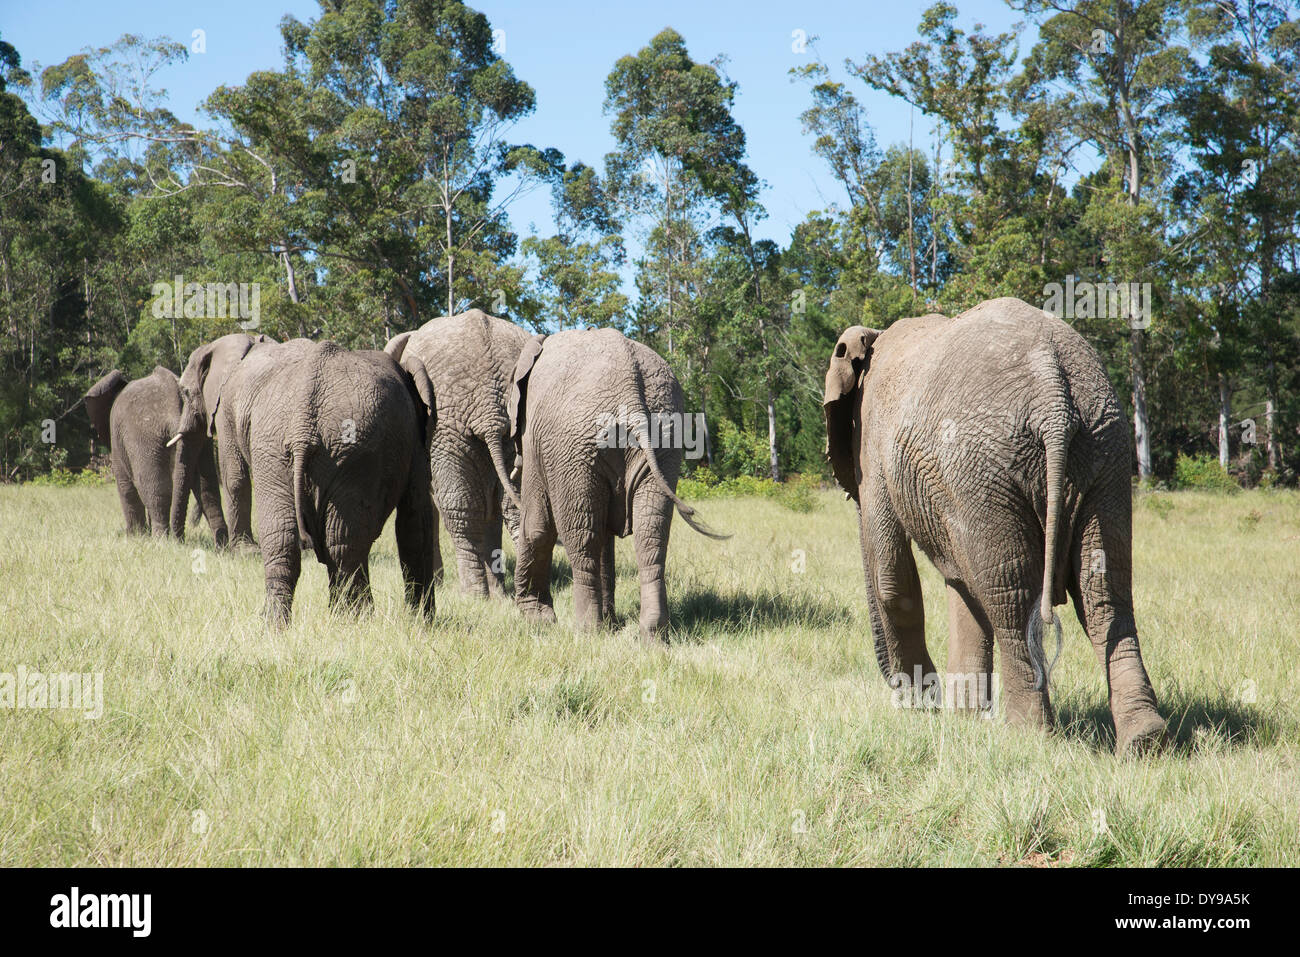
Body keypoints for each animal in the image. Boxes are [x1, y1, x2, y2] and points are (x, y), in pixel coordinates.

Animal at [84, 366, 227, 544]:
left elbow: (125, 487)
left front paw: (135, 537)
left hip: (144, 436)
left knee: (155, 488)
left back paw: (161, 541)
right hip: (199, 433)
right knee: (208, 487)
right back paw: (222, 544)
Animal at [385, 309, 530, 597]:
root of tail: (490, 411)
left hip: (447, 424)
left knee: (461, 509)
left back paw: (474, 596)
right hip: (515, 417)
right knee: (510, 504)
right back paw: (512, 593)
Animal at [508, 327, 724, 638]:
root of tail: (630, 389)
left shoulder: (536, 441)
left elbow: (536, 525)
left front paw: (537, 621)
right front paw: (611, 623)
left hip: (574, 447)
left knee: (581, 536)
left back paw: (588, 632)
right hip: (664, 434)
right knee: (650, 533)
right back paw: (652, 635)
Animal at [823, 296, 1166, 755]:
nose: (917, 695)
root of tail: (1053, 396)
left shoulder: (875, 445)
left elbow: (892, 579)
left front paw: (924, 707)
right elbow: (961, 583)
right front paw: (961, 716)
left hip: (988, 467)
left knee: (1010, 594)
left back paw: (1026, 735)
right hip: (1103, 452)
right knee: (1104, 591)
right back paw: (1146, 740)